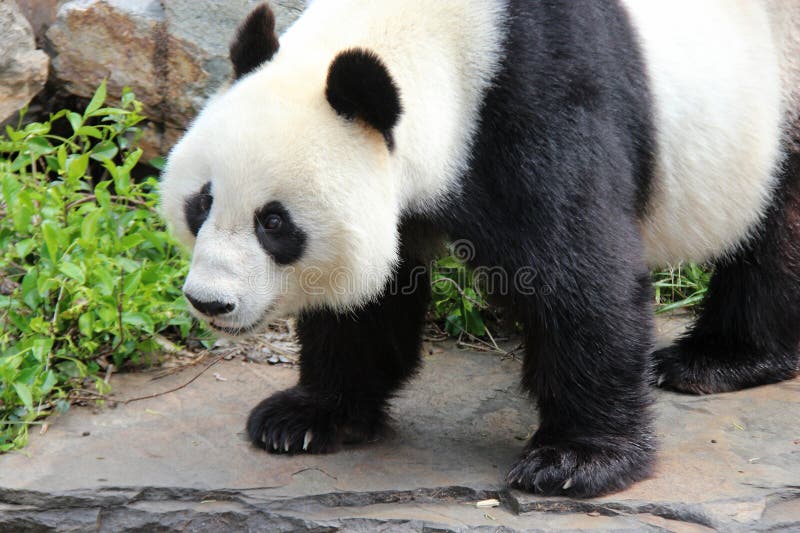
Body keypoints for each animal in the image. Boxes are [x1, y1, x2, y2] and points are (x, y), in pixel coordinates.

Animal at [160, 0, 800, 497]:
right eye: (202, 203)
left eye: (274, 222)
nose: (210, 302)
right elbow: (371, 301)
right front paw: (307, 417)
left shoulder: (538, 101)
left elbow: (578, 279)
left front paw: (575, 461)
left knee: (777, 230)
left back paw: (718, 359)